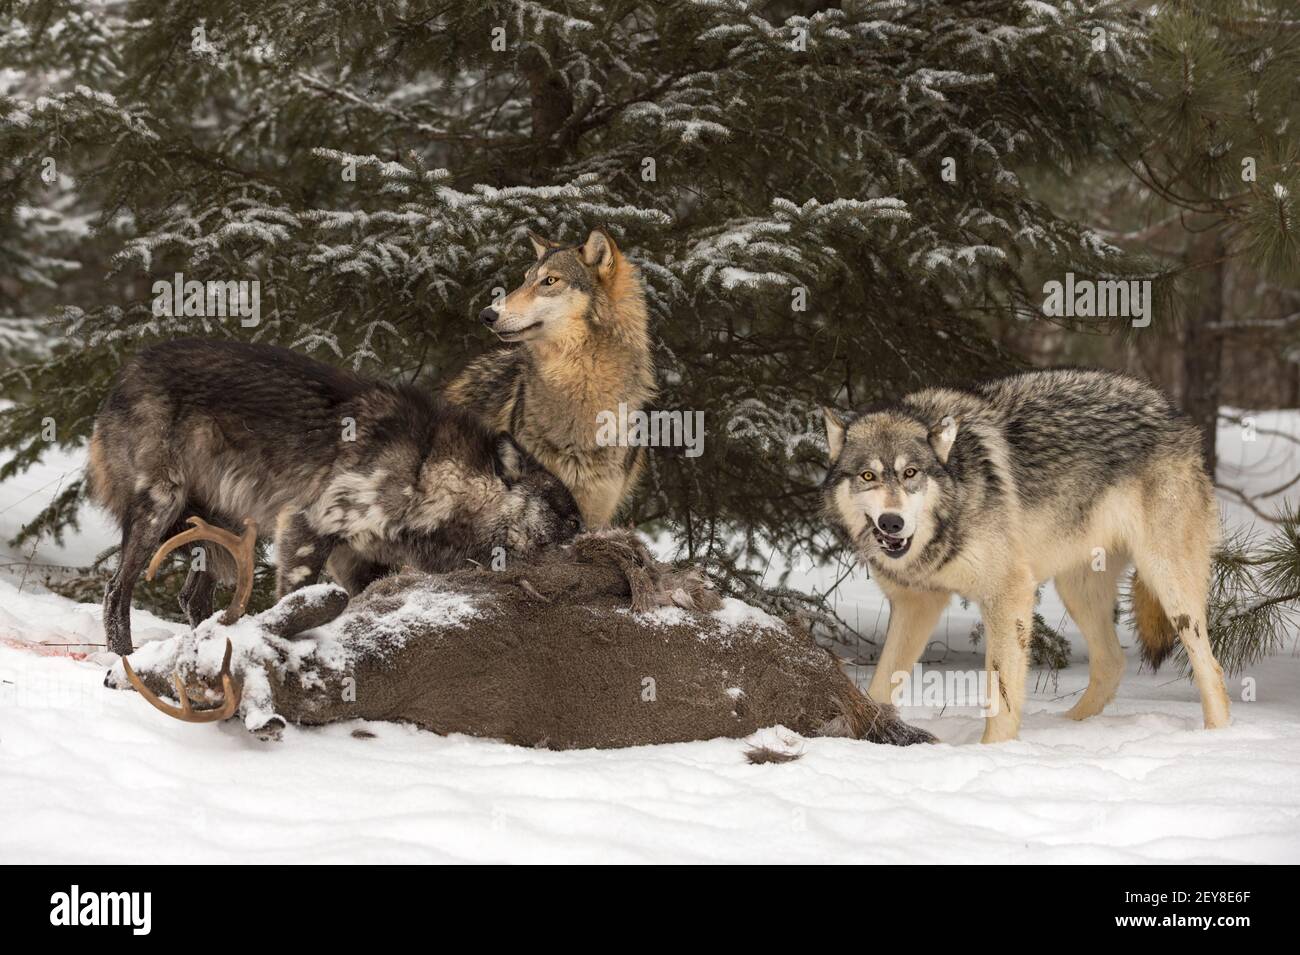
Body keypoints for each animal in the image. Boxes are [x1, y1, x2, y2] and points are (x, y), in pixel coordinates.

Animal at [88, 339, 583, 655]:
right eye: (570, 520)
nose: (590, 544)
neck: (426, 466)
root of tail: (125, 374)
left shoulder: (358, 561)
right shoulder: (307, 530)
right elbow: (294, 602)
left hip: (223, 530)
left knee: (192, 598)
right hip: (160, 509)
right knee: (115, 592)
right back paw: (121, 657)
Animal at [822, 368, 1231, 743]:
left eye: (910, 473)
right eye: (868, 476)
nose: (892, 522)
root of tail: (1173, 414)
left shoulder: (1009, 594)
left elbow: (1002, 695)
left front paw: (994, 752)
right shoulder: (916, 604)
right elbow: (879, 686)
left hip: (1168, 583)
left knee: (1210, 666)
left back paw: (1215, 737)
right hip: (1078, 589)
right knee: (1112, 662)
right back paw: (1070, 728)